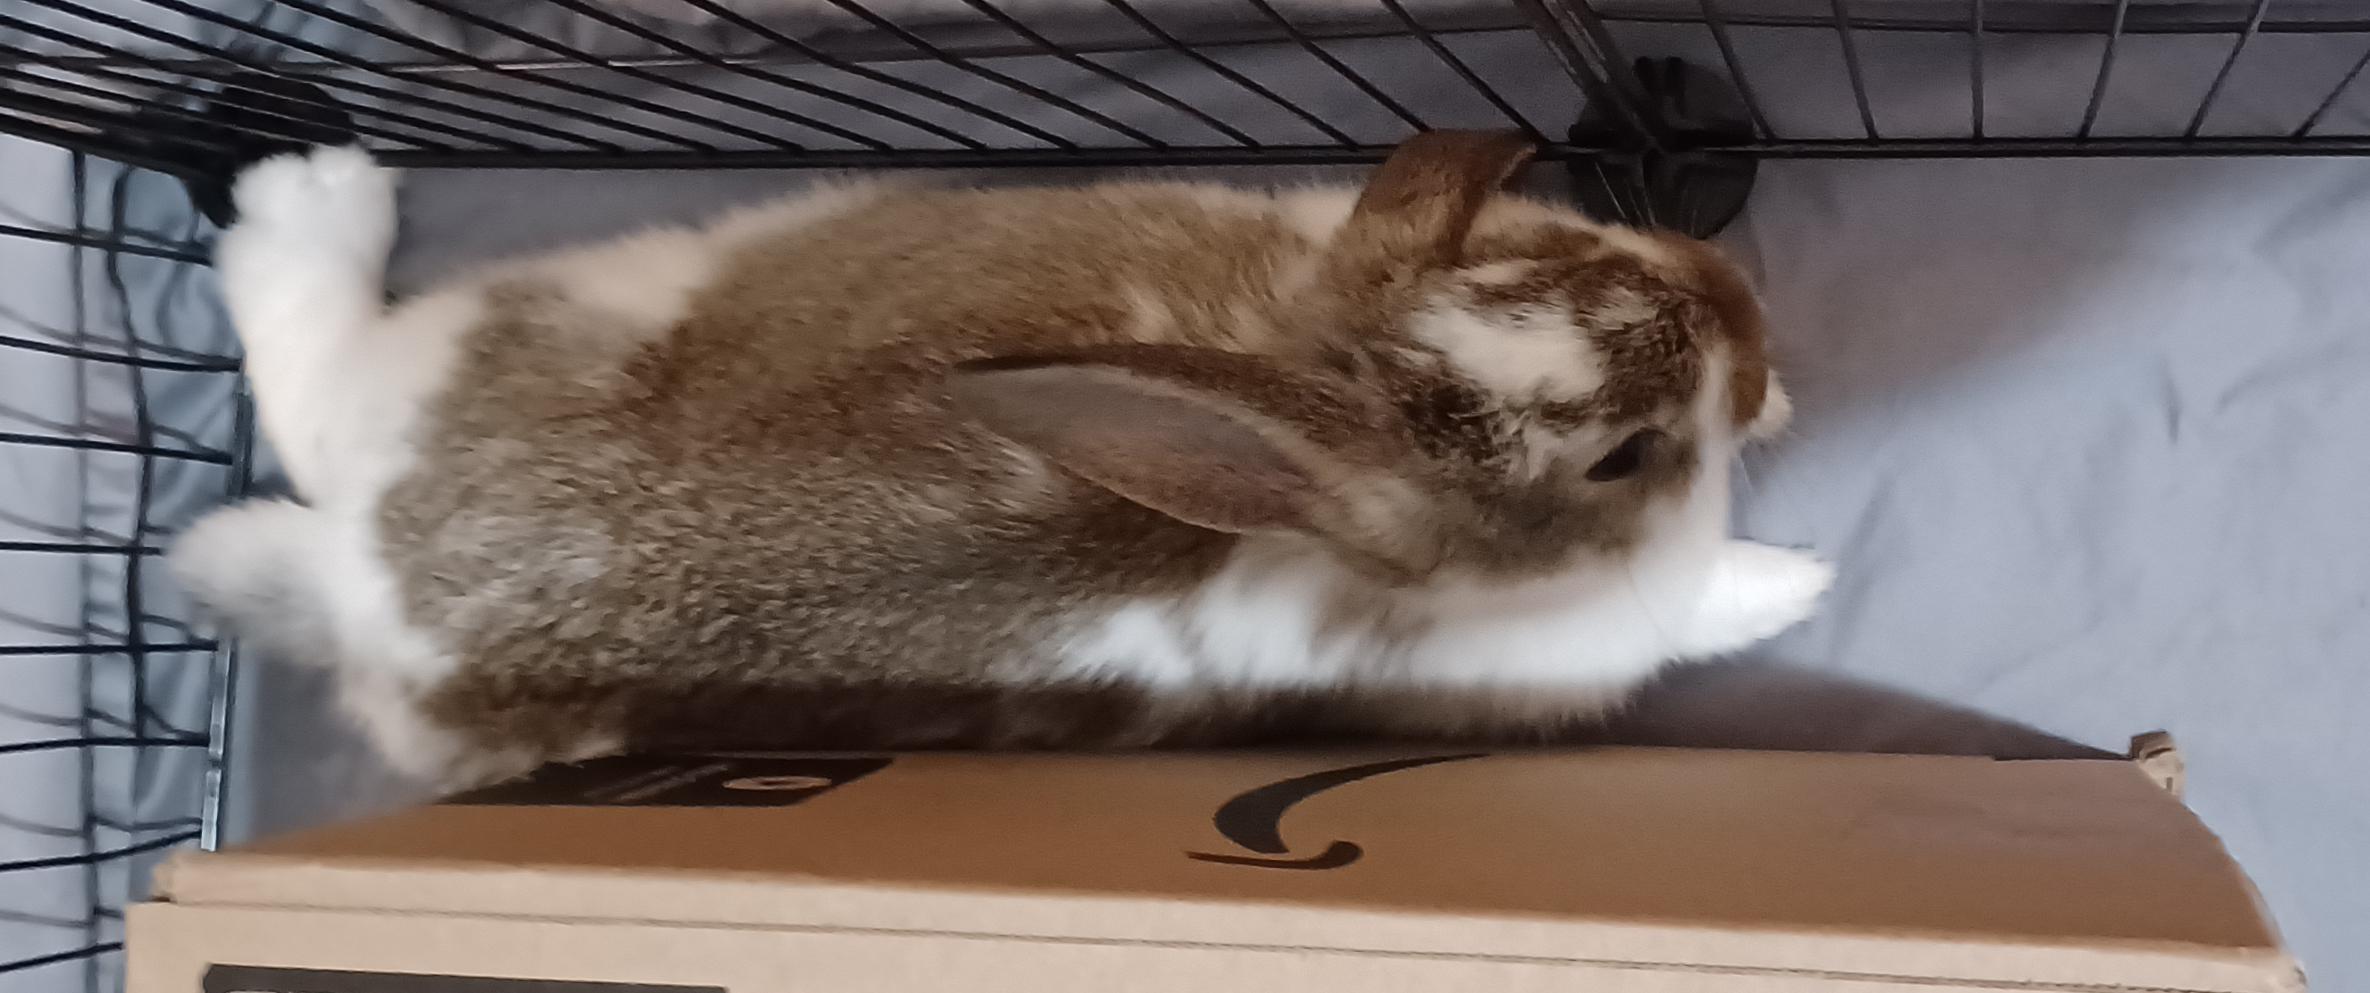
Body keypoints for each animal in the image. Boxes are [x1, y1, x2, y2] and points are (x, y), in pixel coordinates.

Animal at [172, 131, 1833, 789]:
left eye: (1571, 234)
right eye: (1622, 456)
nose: (1756, 331)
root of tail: (364, 570)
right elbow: (1712, 591)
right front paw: (1796, 574)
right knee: (307, 357)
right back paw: (305, 195)